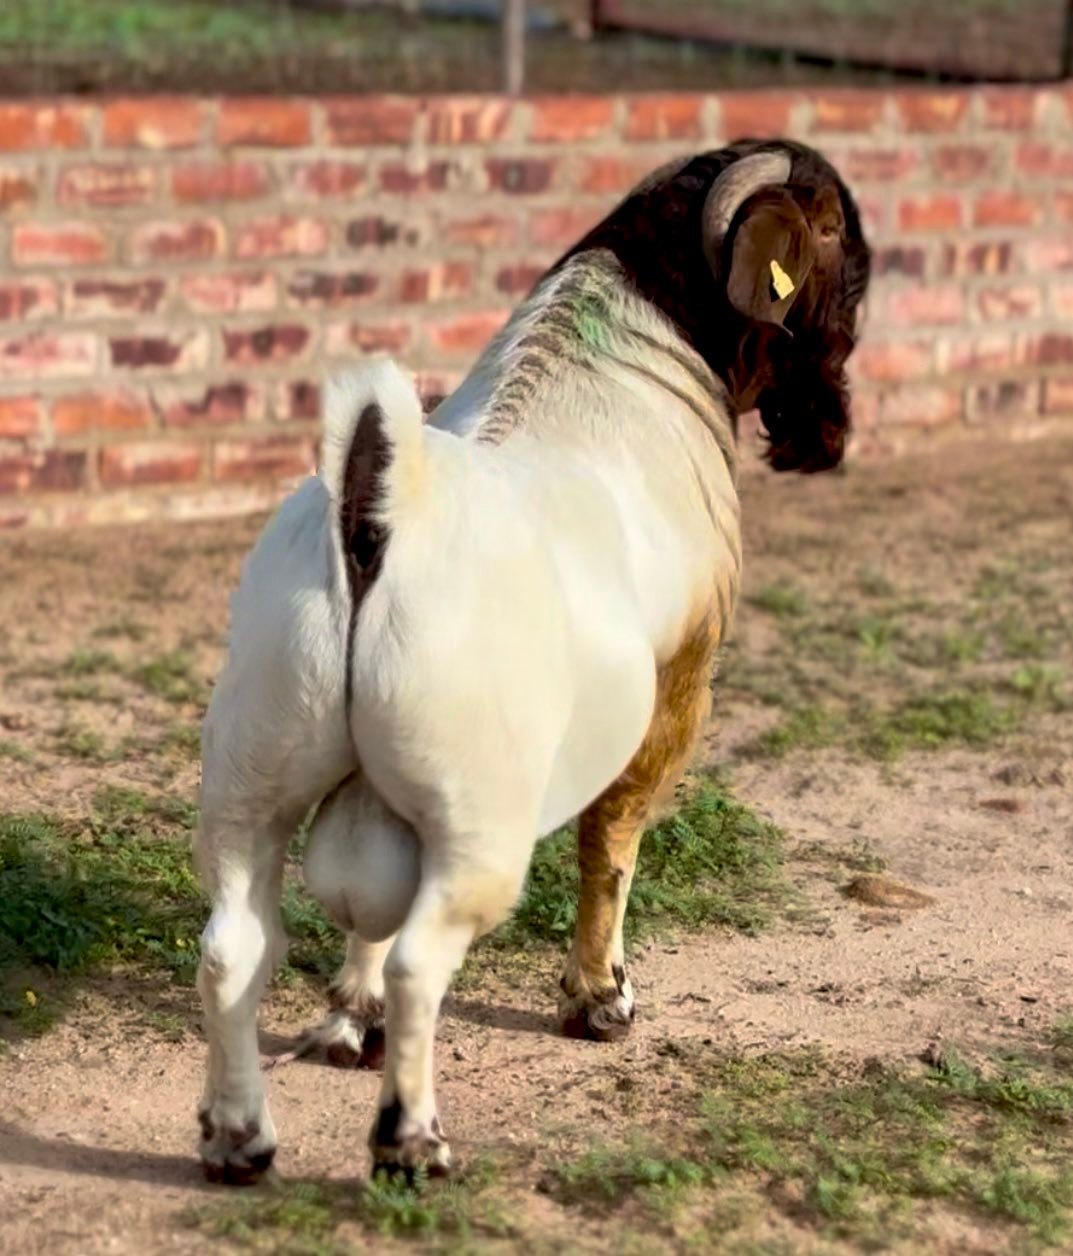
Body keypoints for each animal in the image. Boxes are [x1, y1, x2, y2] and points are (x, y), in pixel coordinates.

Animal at [193, 139, 871, 1183]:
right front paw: (600, 1000)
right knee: (422, 958)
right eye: (831, 227)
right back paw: (411, 1143)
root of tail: (378, 510)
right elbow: (612, 843)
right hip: (479, 812)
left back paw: (239, 1137)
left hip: (254, 763)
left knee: (235, 947)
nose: (825, 428)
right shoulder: (678, 683)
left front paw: (349, 1024)